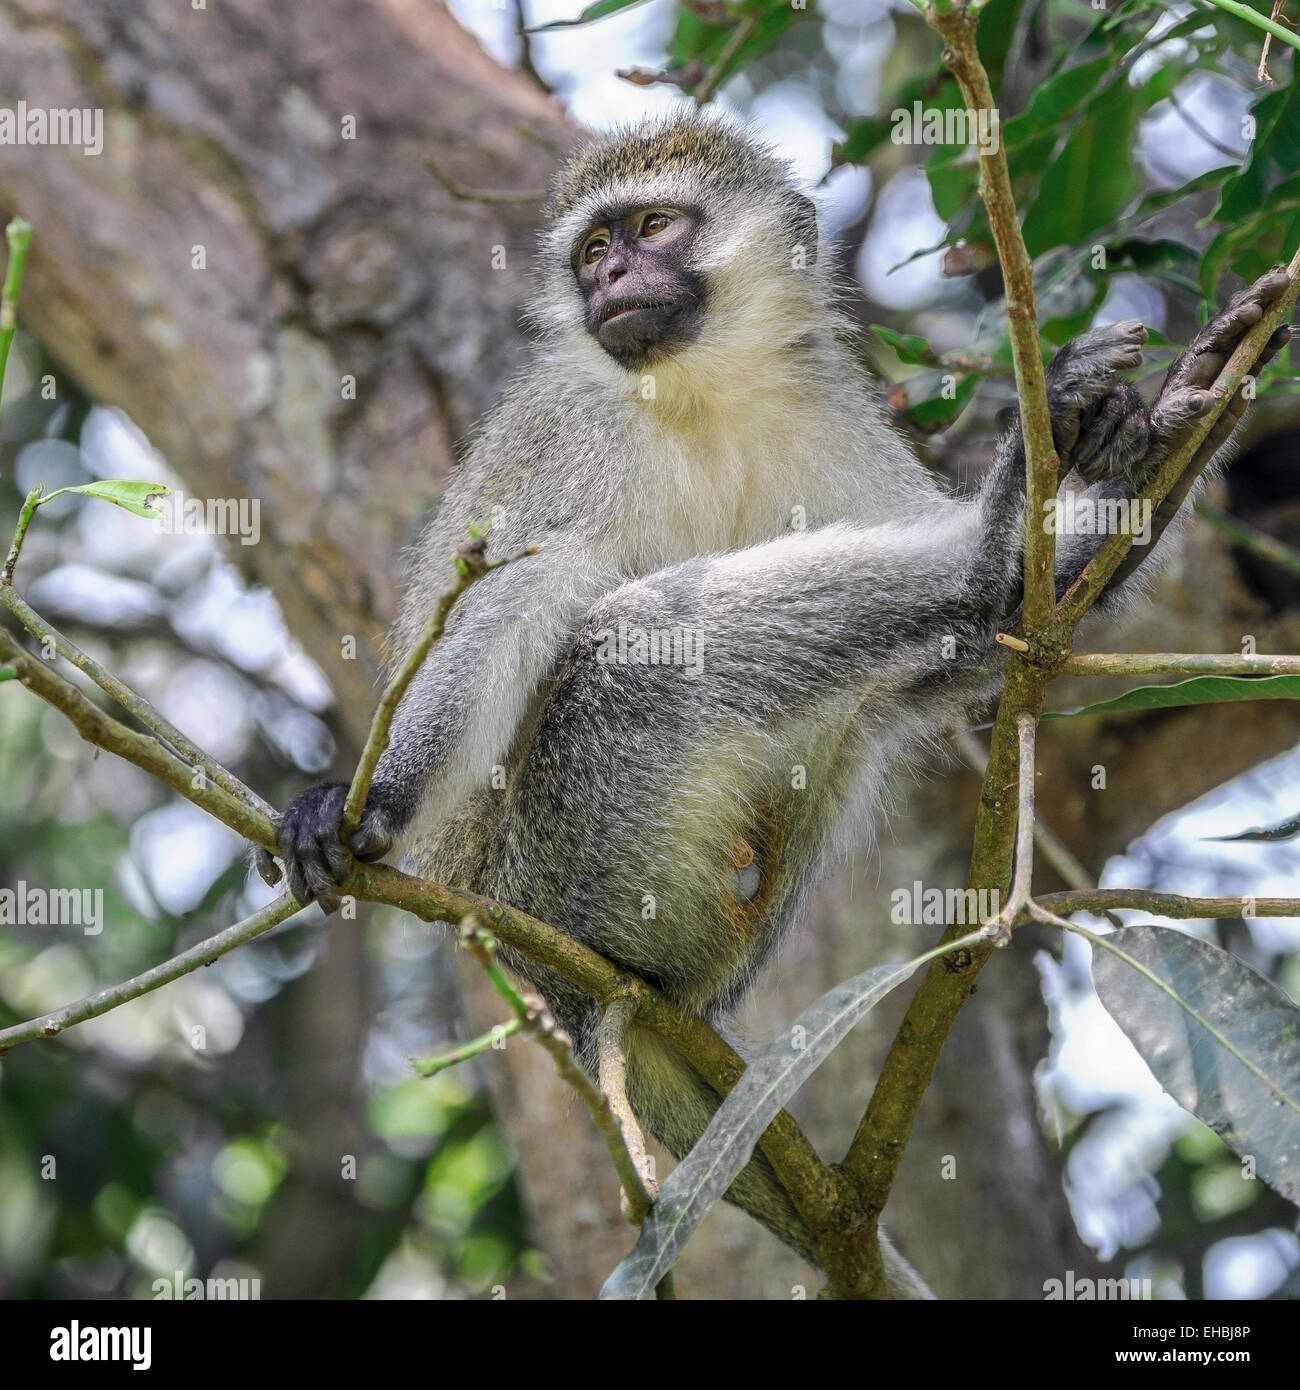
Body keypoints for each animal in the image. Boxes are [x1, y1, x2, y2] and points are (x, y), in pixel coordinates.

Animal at [254, 114, 1292, 1293]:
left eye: (654, 227)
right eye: (592, 248)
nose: (610, 276)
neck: (705, 391)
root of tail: (567, 991)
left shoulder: (831, 416)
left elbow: (967, 656)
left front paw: (1162, 423)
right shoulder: (574, 432)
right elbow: (504, 608)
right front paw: (367, 802)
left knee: (855, 703)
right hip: (562, 876)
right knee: (634, 645)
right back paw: (996, 539)